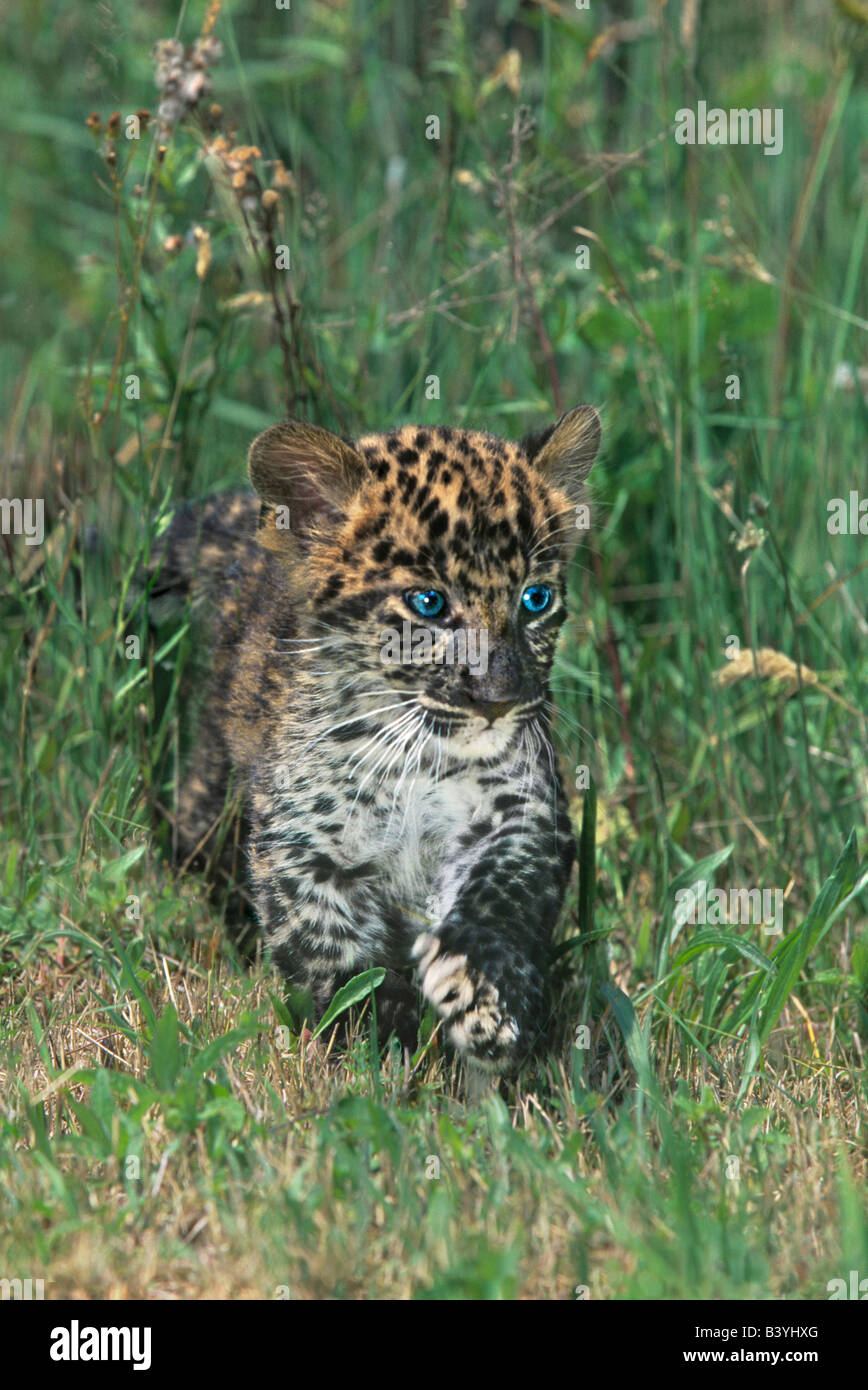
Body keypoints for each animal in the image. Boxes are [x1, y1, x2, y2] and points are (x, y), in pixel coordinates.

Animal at [146, 404, 601, 1071]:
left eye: (535, 599)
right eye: (428, 603)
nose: (499, 700)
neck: (418, 759)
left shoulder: (519, 811)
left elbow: (501, 896)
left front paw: (483, 999)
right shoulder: (305, 847)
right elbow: (338, 959)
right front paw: (379, 1051)